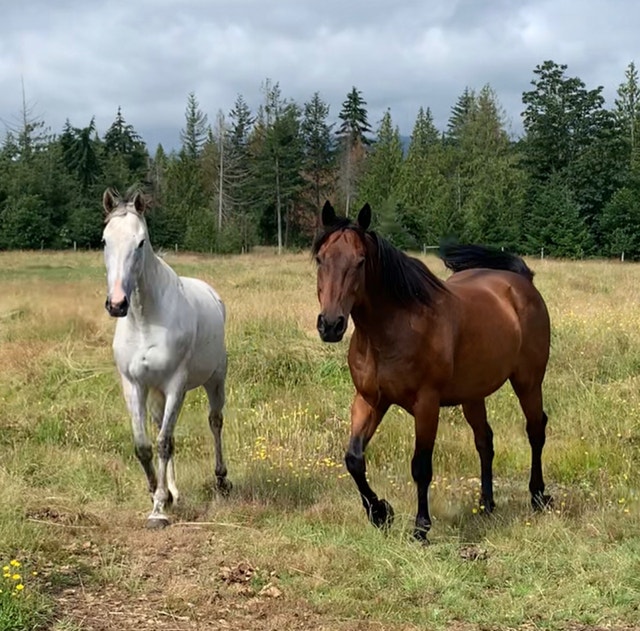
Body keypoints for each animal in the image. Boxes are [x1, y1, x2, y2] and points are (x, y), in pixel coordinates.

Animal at [102, 188, 230, 528]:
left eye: (141, 242)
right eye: (104, 240)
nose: (117, 304)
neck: (146, 319)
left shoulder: (176, 385)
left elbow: (163, 442)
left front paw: (159, 508)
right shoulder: (134, 385)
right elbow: (145, 445)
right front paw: (158, 495)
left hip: (214, 381)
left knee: (214, 422)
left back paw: (221, 480)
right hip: (157, 393)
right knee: (163, 428)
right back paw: (173, 491)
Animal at [313, 201, 552, 541]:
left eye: (360, 261)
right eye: (321, 259)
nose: (331, 325)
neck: (391, 329)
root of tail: (522, 283)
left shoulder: (426, 404)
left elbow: (421, 466)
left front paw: (421, 528)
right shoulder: (370, 400)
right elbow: (354, 459)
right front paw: (380, 513)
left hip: (528, 381)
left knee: (535, 430)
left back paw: (538, 496)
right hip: (473, 395)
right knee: (485, 441)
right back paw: (486, 504)